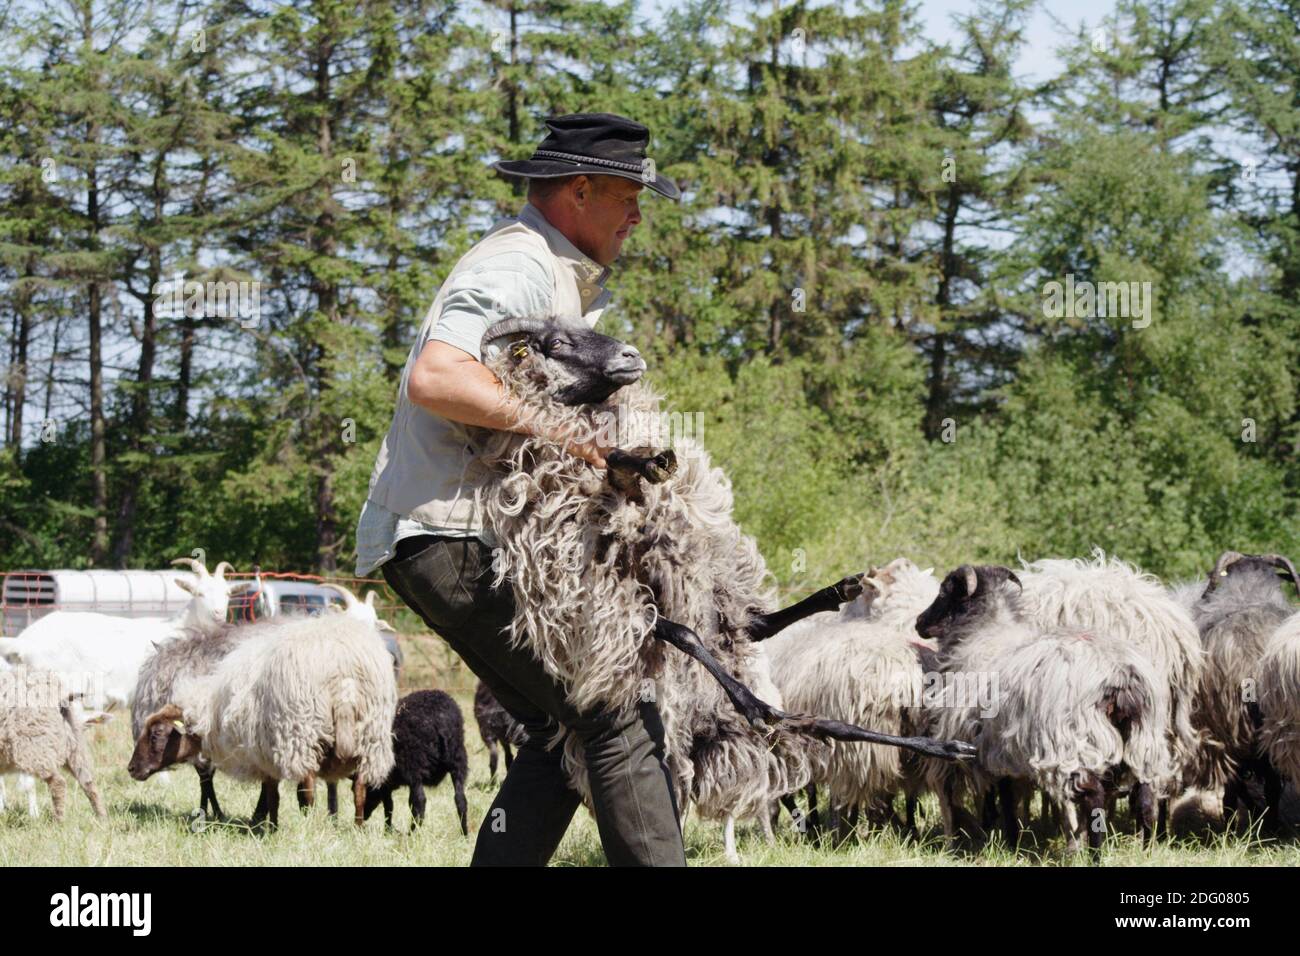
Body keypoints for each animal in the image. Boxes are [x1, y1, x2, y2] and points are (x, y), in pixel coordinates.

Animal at [0, 667, 107, 821]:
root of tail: (59, 697)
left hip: (34, 746)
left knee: (58, 783)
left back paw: (59, 821)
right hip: (72, 745)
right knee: (88, 782)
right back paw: (102, 818)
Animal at [128, 613, 397, 829]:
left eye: (156, 734)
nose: (131, 768)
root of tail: (345, 677)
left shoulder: (261, 749)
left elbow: (252, 790)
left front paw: (227, 817)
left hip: (302, 737)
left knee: (308, 790)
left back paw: (310, 825)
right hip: (368, 737)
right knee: (358, 788)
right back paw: (352, 825)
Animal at [363, 690, 469, 835]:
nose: (363, 816)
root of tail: (442, 720)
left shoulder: (386, 782)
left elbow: (389, 805)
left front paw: (387, 830)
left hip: (414, 766)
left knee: (419, 802)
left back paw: (412, 834)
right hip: (458, 761)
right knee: (460, 800)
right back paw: (465, 834)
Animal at [917, 565, 1174, 854]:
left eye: (944, 591)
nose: (919, 622)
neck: (983, 634)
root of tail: (1121, 674)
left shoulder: (996, 749)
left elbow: (1006, 799)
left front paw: (1012, 843)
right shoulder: (1005, 750)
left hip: (1072, 741)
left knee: (1094, 796)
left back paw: (1093, 853)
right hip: (1144, 738)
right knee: (1146, 798)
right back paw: (1146, 849)